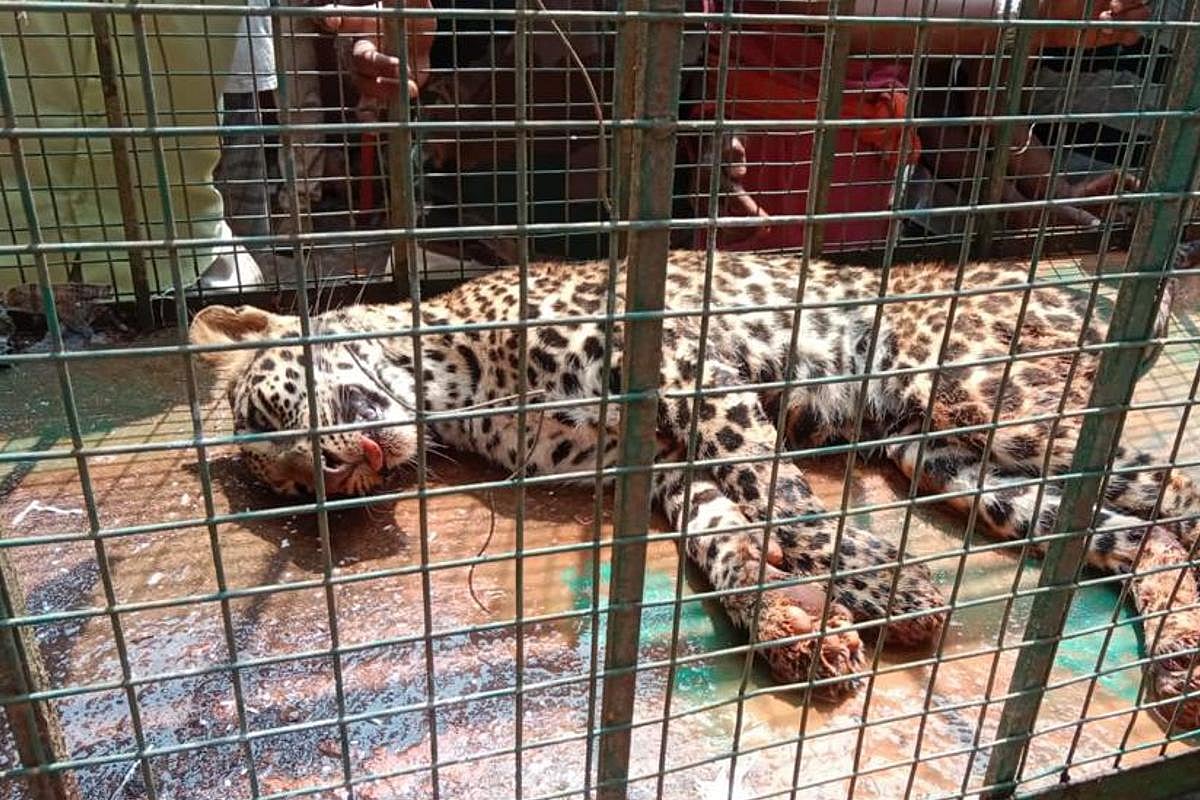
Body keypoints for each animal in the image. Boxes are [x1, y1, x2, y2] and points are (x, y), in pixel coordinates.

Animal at [190, 248, 1200, 727]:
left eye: (275, 413)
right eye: (289, 488)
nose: (331, 470)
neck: (448, 388)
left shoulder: (688, 367)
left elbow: (778, 493)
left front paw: (889, 585)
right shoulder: (660, 464)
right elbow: (729, 536)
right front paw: (799, 628)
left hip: (990, 398)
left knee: (1177, 487)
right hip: (953, 458)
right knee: (1139, 531)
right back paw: (1182, 655)